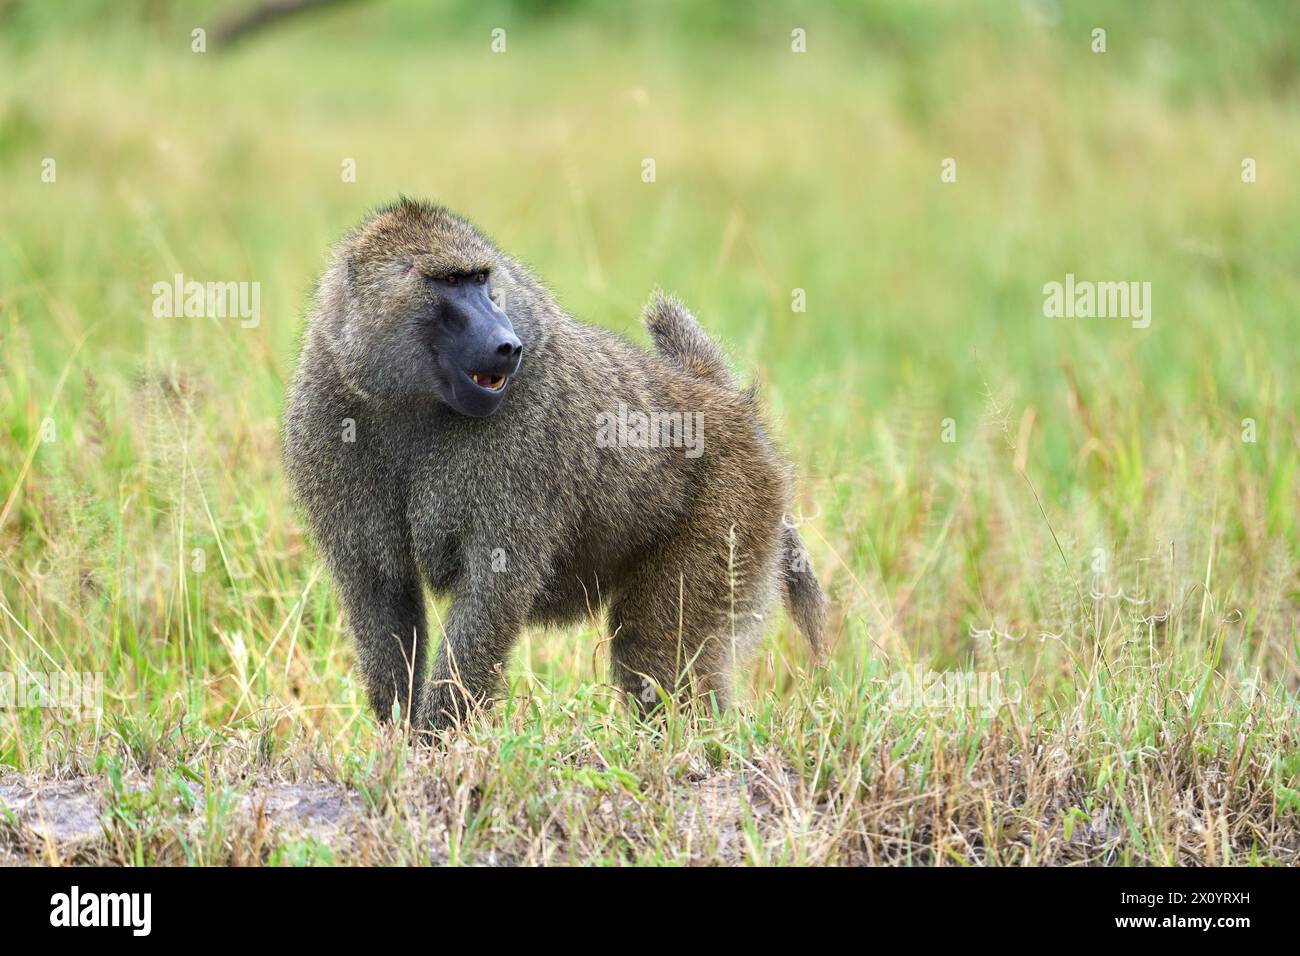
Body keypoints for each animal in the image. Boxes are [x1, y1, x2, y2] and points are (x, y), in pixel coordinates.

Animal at [283, 198, 827, 733]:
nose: (507, 344)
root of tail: (719, 398)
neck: (412, 401)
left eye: (480, 279)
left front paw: (439, 738)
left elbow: (492, 591)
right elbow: (379, 589)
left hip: (735, 504)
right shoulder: (327, 418)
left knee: (654, 657)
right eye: (449, 281)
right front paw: (397, 738)